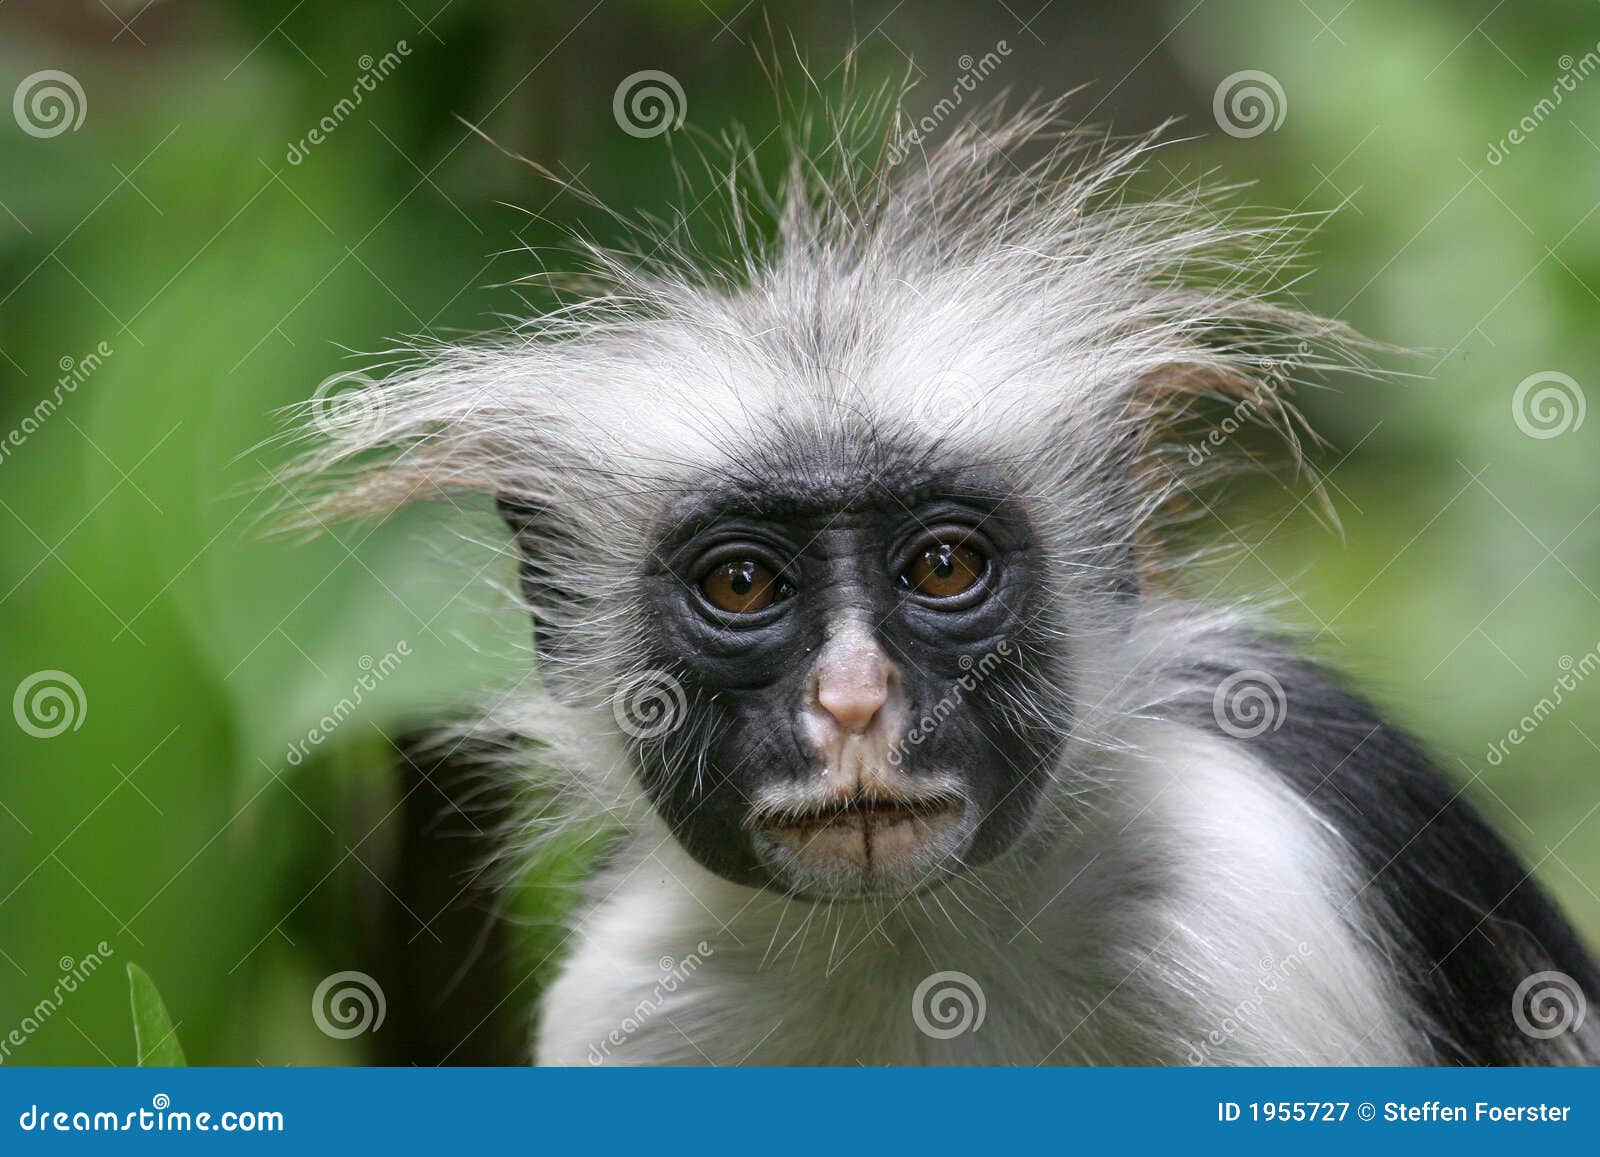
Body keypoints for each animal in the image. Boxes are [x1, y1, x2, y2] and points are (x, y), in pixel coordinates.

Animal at [298, 98, 1600, 1066]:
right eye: (740, 584)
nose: (853, 702)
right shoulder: (627, 989)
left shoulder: (1249, 892)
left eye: (942, 564)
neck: (915, 936)